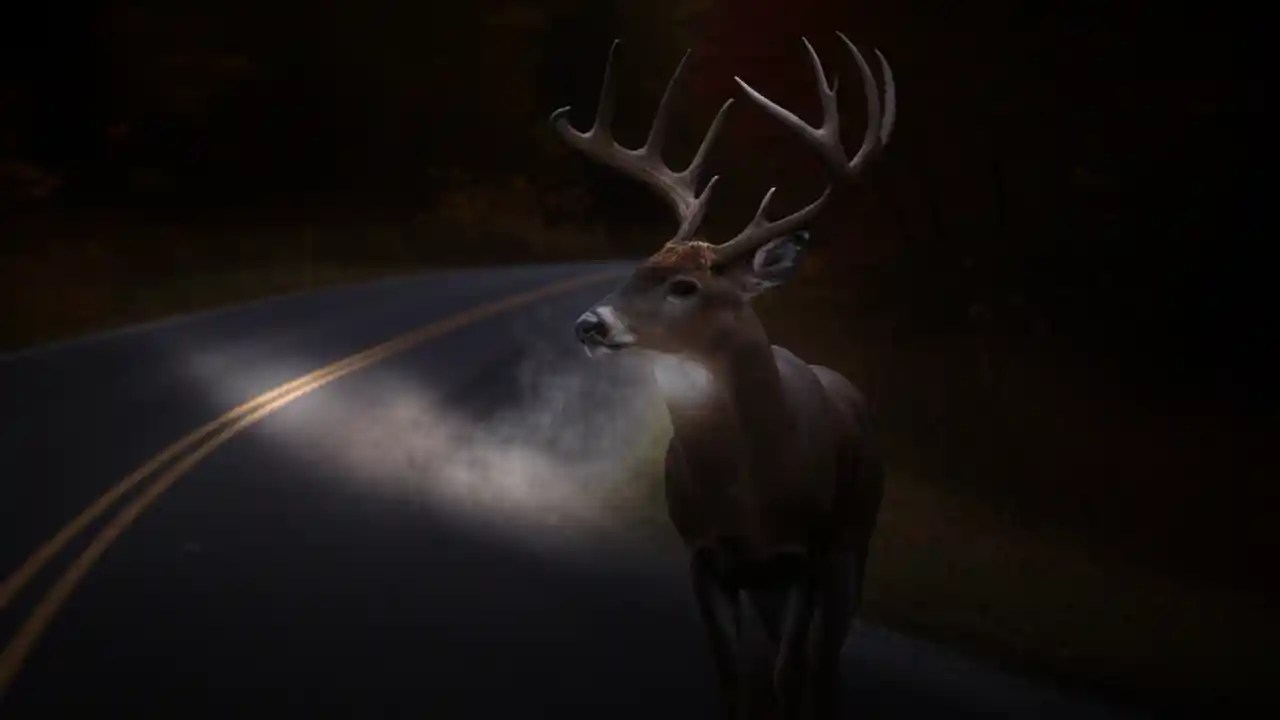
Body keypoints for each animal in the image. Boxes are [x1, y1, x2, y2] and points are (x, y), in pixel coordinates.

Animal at [553, 33, 894, 719]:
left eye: (686, 286)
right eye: (639, 268)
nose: (590, 323)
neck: (749, 495)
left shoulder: (807, 555)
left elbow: (789, 675)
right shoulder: (705, 555)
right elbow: (734, 678)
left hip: (854, 538)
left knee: (825, 665)